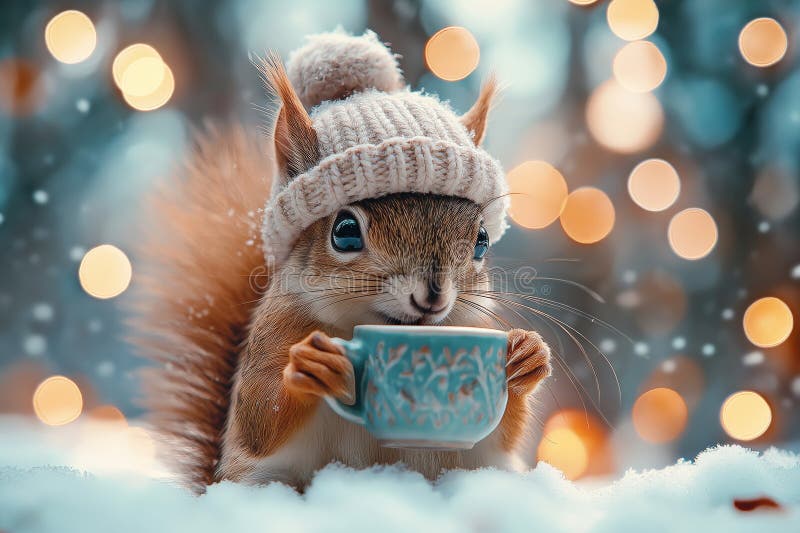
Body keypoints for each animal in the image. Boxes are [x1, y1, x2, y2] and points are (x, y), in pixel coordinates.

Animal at [130, 30, 551, 494]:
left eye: (481, 241)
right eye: (345, 231)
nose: (433, 296)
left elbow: (497, 438)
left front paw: (526, 357)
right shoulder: (272, 337)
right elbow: (259, 416)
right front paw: (309, 367)